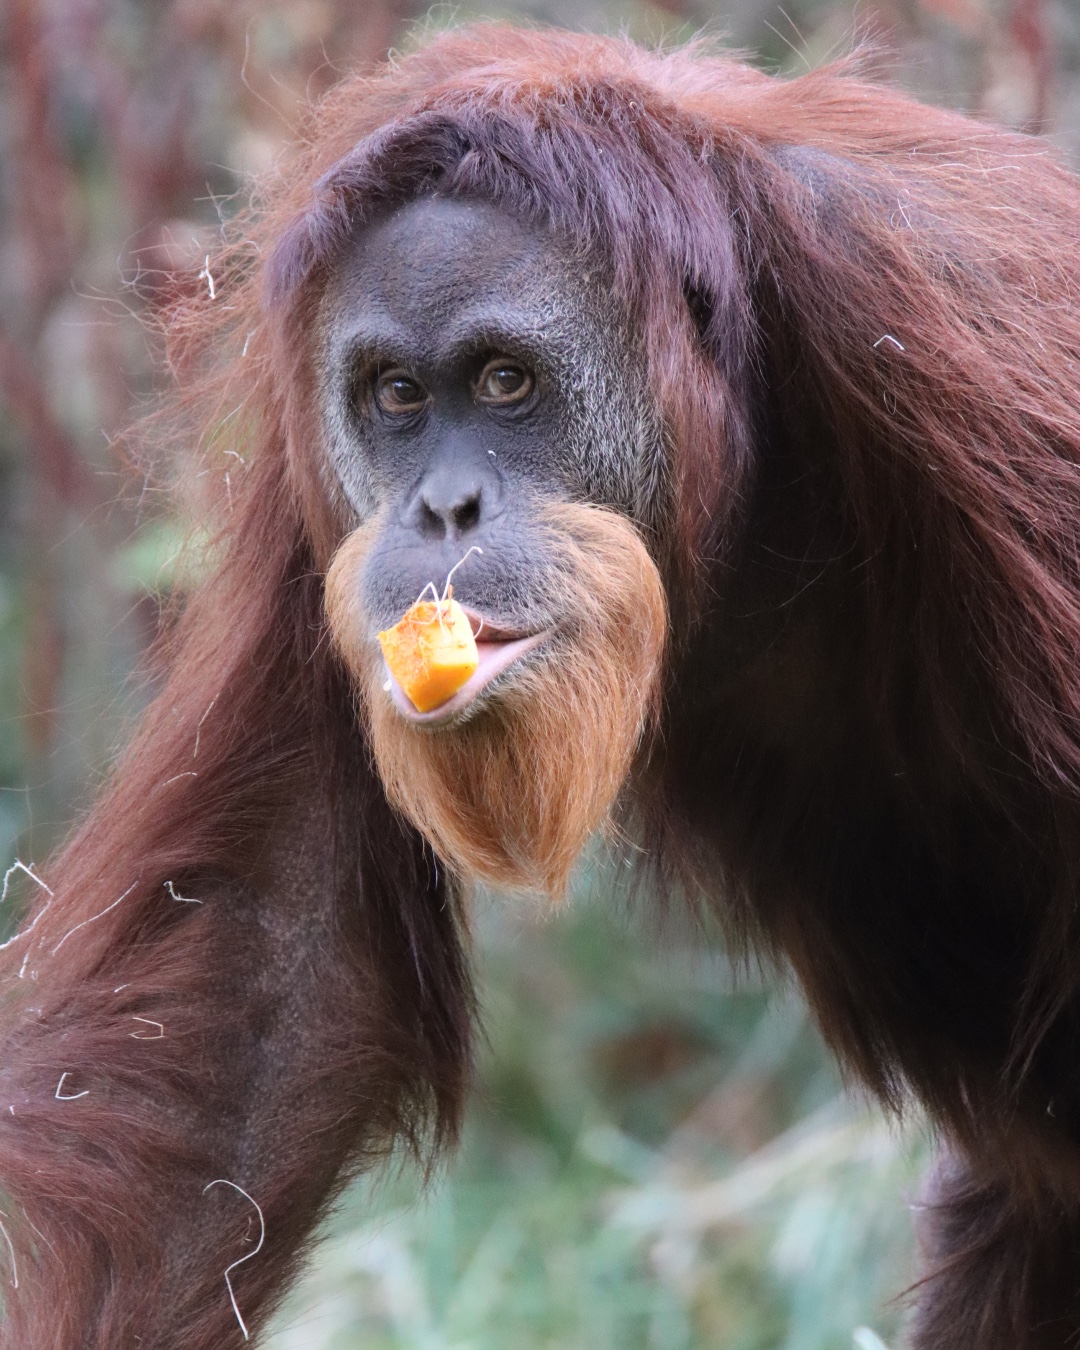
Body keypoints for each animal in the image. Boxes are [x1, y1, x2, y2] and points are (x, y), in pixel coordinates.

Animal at [3, 21, 1080, 1348]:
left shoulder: (967, 341)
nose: (442, 508)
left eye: (506, 381)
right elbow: (264, 969)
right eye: (400, 397)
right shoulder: (314, 488)